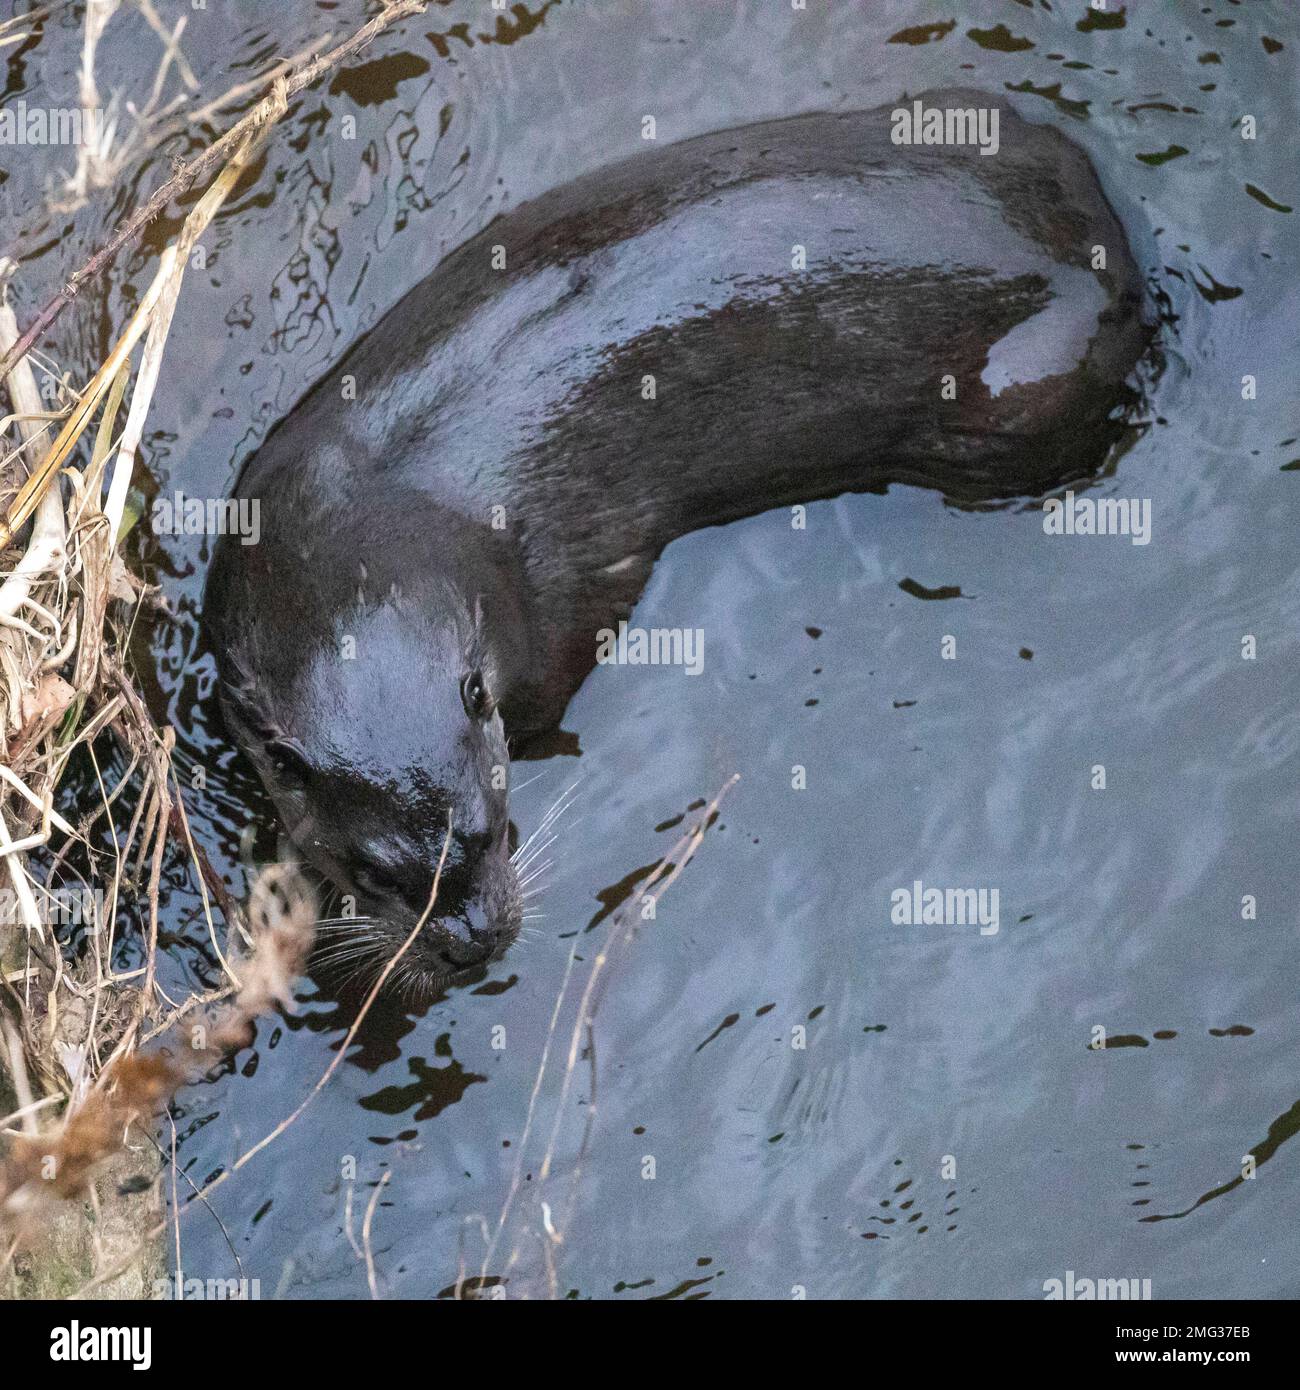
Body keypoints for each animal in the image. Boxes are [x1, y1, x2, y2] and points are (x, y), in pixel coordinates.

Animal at [204, 90, 1150, 993]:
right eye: (374, 870)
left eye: (491, 831)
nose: (474, 942)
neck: (381, 499)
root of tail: (1099, 233)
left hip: (1030, 385)